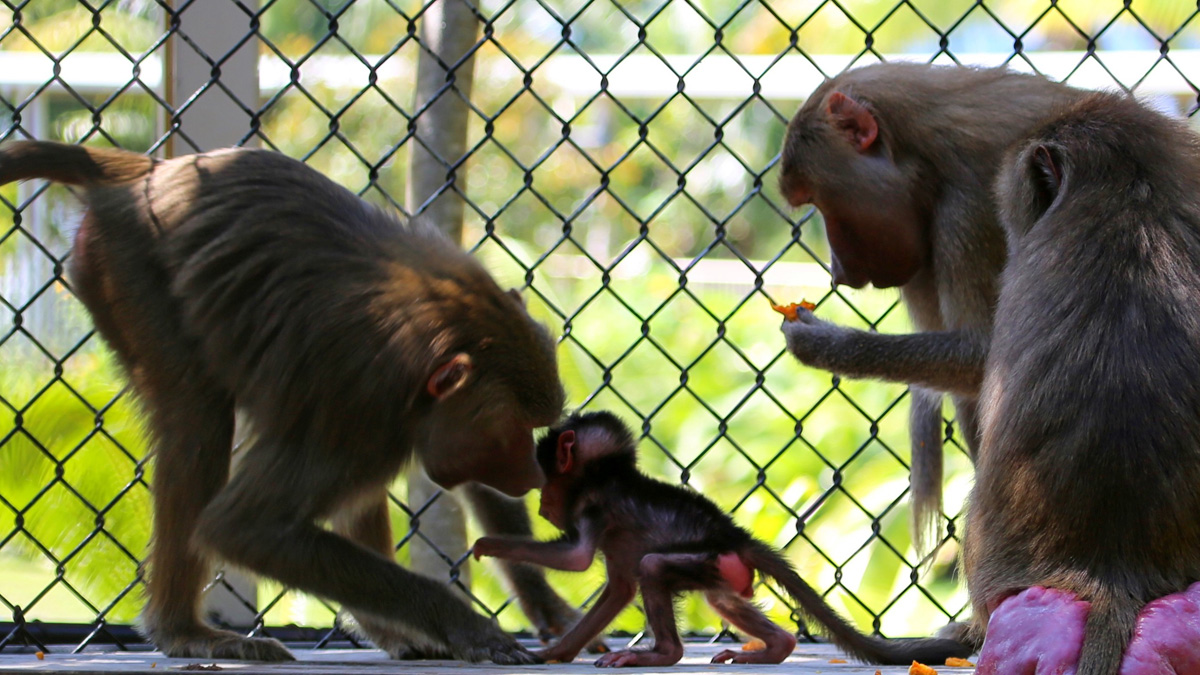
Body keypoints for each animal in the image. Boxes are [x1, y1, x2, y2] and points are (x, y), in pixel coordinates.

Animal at [0, 140, 576, 664]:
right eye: (510, 431)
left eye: (530, 428)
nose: (532, 473)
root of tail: (146, 174)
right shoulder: (357, 413)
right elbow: (243, 529)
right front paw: (463, 624)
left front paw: (542, 599)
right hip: (126, 268)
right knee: (198, 420)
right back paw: (183, 630)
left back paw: (388, 631)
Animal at [472, 410, 973, 667]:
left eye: (545, 484)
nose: (542, 505)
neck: (607, 475)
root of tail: (734, 534)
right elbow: (617, 590)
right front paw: (556, 652)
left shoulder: (594, 508)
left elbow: (577, 559)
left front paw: (490, 545)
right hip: (726, 567)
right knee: (721, 600)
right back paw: (777, 648)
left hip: (708, 557)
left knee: (654, 565)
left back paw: (664, 655)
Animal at [776, 62, 1090, 550]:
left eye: (815, 199)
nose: (837, 270)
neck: (923, 156)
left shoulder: (970, 208)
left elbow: (989, 356)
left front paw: (826, 343)